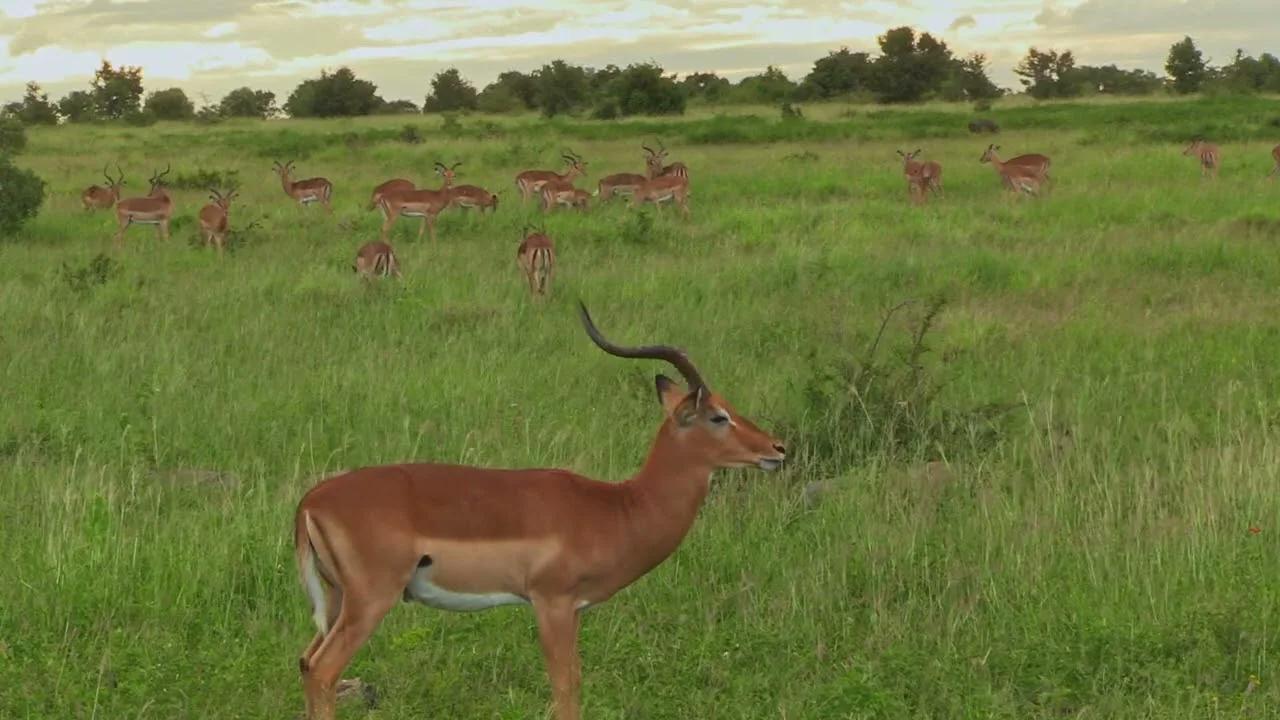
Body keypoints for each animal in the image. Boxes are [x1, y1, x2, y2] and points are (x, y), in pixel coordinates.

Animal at [292, 302, 786, 720]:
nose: (777, 448)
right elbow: (566, 688)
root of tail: (310, 503)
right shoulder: (552, 602)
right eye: (718, 416)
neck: (619, 508)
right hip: (370, 600)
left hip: (337, 600)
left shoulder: (573, 610)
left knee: (306, 662)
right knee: (324, 670)